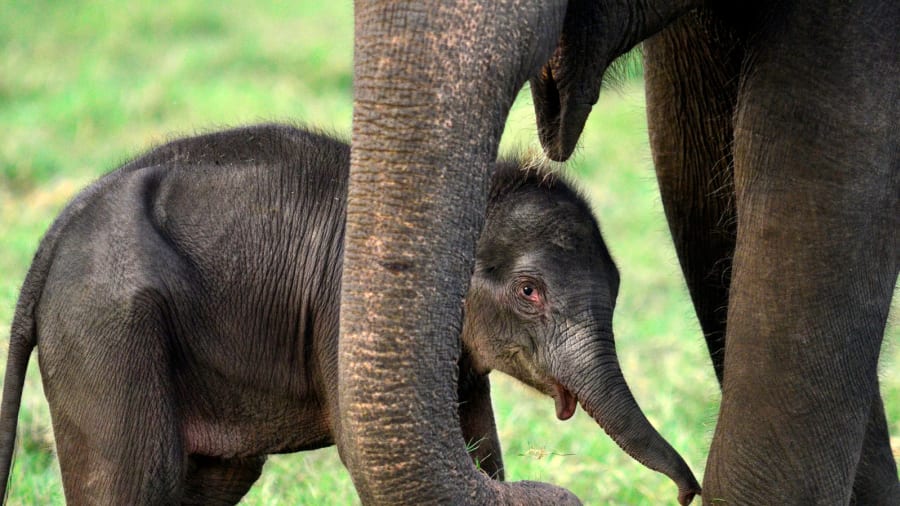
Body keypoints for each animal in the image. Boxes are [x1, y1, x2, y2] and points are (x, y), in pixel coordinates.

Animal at [0, 123, 700, 504]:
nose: (688, 492)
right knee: (139, 480)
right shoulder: (348, 311)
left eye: (618, 286)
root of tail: (53, 235)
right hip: (104, 327)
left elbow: (479, 449)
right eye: (530, 292)